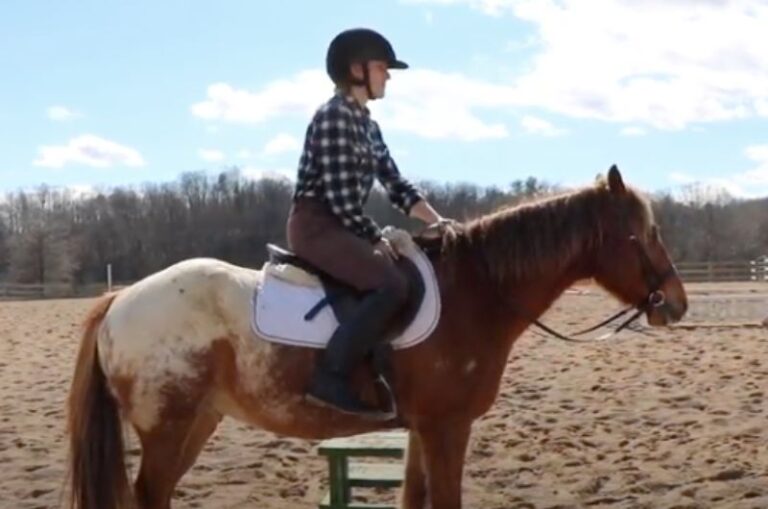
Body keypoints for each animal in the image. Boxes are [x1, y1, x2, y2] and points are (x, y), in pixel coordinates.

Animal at [66, 166, 687, 509]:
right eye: (643, 234)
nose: (676, 303)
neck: (476, 290)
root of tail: (121, 298)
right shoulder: (446, 427)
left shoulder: (422, 429)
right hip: (167, 425)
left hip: (197, 421)